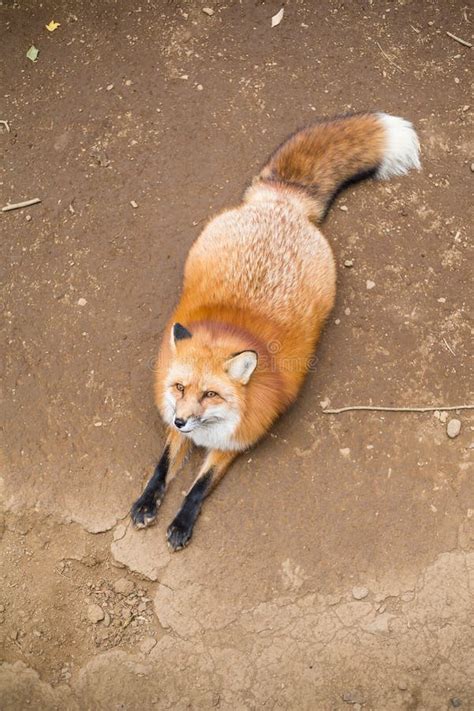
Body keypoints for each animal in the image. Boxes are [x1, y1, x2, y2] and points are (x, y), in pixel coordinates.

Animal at [131, 111, 420, 550]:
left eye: (211, 394)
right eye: (179, 387)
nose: (182, 421)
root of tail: (281, 204)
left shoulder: (237, 441)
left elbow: (199, 487)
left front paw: (181, 523)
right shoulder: (175, 421)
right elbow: (162, 465)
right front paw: (147, 502)